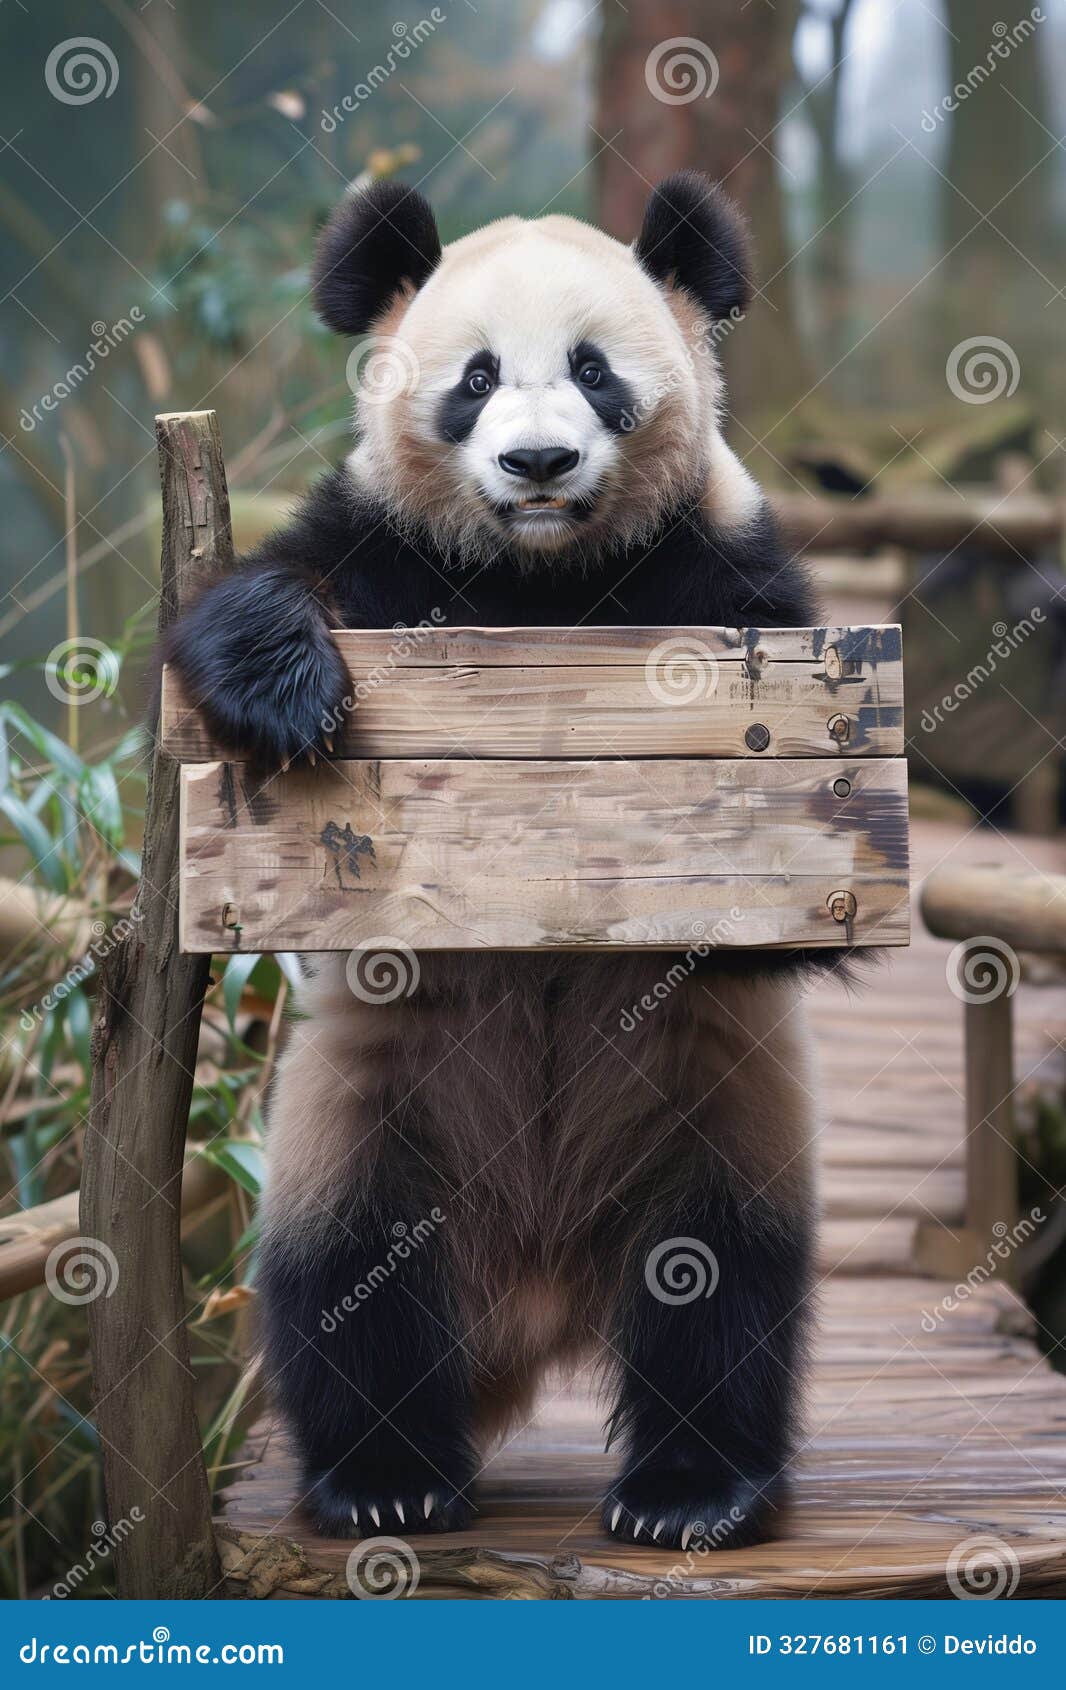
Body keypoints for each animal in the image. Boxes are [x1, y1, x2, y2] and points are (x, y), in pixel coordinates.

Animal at [167, 172, 821, 1553]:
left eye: (593, 372)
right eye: (474, 379)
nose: (537, 464)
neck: (542, 578)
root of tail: (537, 1293)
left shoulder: (724, 568)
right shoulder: (381, 546)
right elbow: (254, 601)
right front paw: (289, 694)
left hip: (719, 1106)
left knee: (724, 1289)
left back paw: (694, 1492)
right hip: (364, 1111)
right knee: (342, 1279)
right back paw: (386, 1478)